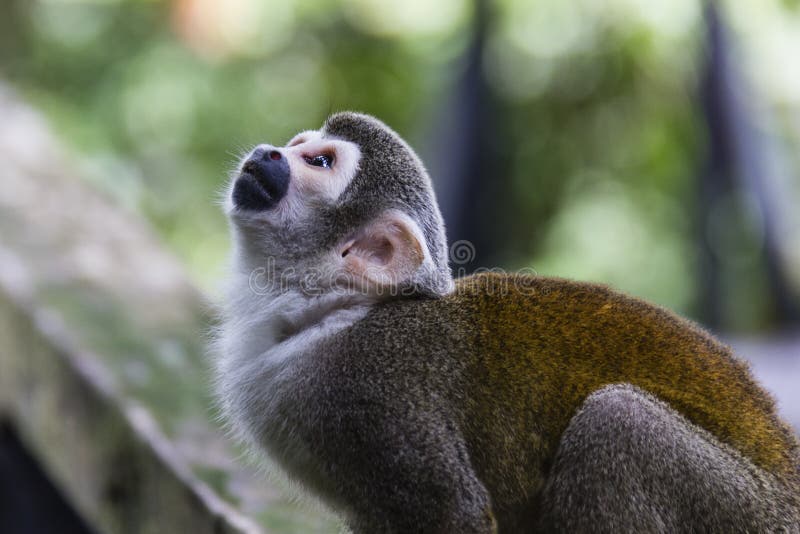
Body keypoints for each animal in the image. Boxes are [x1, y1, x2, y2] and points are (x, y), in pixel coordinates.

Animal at [214, 112, 800, 533]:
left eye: (317, 161)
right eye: (297, 144)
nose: (269, 154)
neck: (335, 315)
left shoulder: (374, 396)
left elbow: (453, 513)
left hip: (742, 511)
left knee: (619, 420)